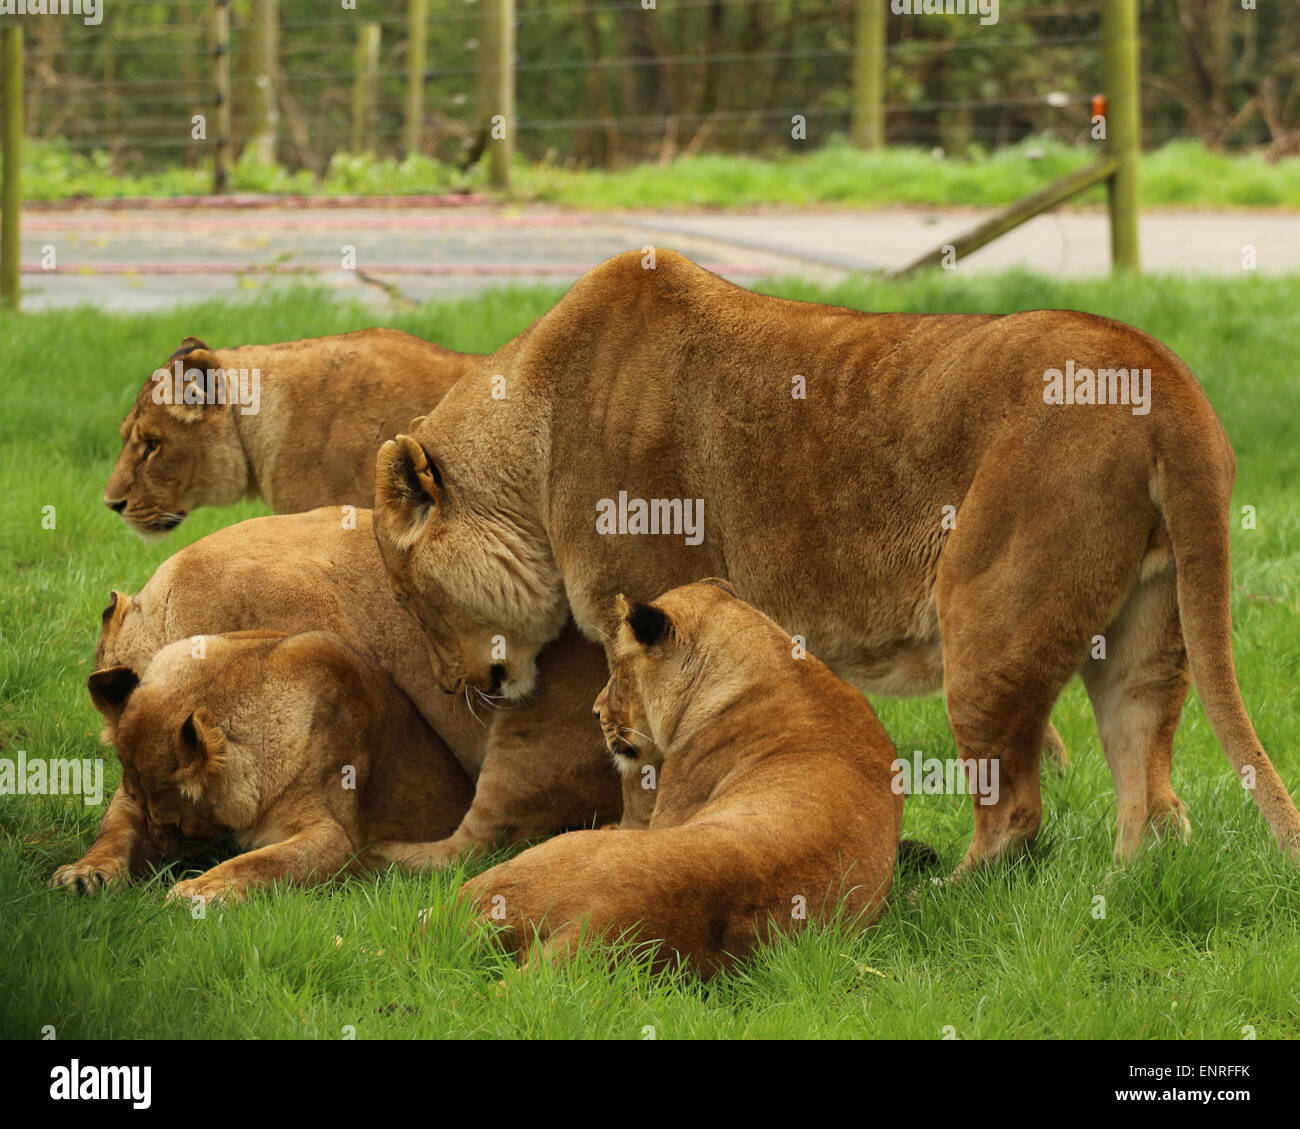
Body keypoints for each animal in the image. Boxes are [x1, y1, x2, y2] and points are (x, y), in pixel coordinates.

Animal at [61, 631, 476, 902]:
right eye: (147, 813)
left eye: (175, 824)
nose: (158, 864)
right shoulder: (127, 795)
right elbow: (114, 831)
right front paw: (86, 872)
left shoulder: (340, 841)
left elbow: (261, 862)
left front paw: (200, 889)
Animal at [375, 248, 1300, 872]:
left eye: (413, 598)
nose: (455, 685)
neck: (531, 430)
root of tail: (1165, 375)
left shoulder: (640, 600)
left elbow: (641, 762)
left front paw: (636, 840)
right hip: (1148, 627)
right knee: (1154, 790)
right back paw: (1123, 881)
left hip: (989, 617)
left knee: (1015, 813)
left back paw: (941, 889)